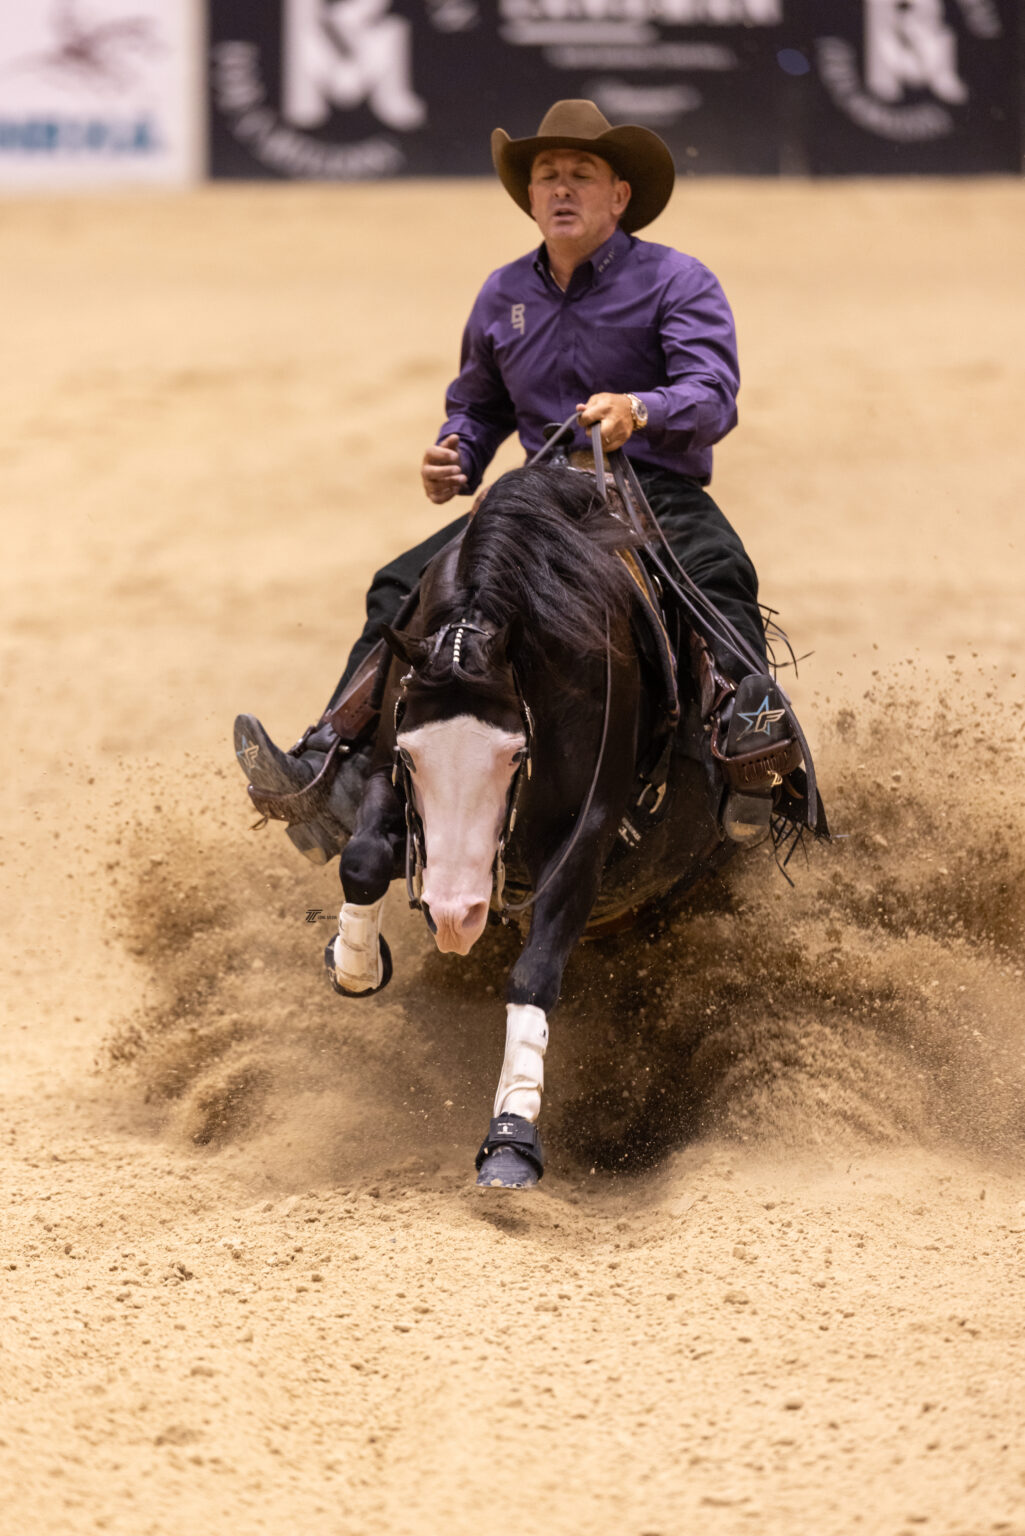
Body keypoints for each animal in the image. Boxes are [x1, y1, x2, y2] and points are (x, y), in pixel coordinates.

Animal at [323, 462, 776, 1189]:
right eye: (411, 754)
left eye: (515, 754)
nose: (455, 913)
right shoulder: (385, 774)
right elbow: (362, 858)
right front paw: (355, 962)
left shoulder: (587, 834)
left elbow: (535, 972)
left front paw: (510, 1139)